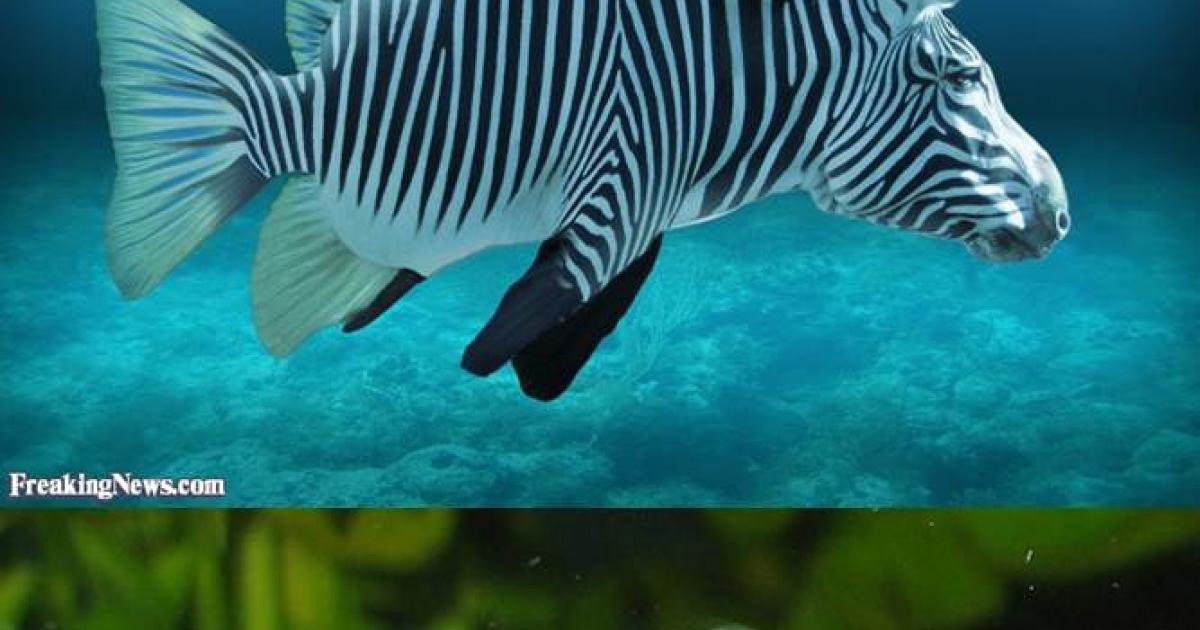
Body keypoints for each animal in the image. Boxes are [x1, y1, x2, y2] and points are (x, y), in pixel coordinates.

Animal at [97, 0, 1069, 401]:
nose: (1062, 214)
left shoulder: (638, 203)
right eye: (960, 78)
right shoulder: (631, 175)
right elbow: (553, 303)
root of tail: (273, 106)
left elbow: (582, 293)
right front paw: (509, 362)